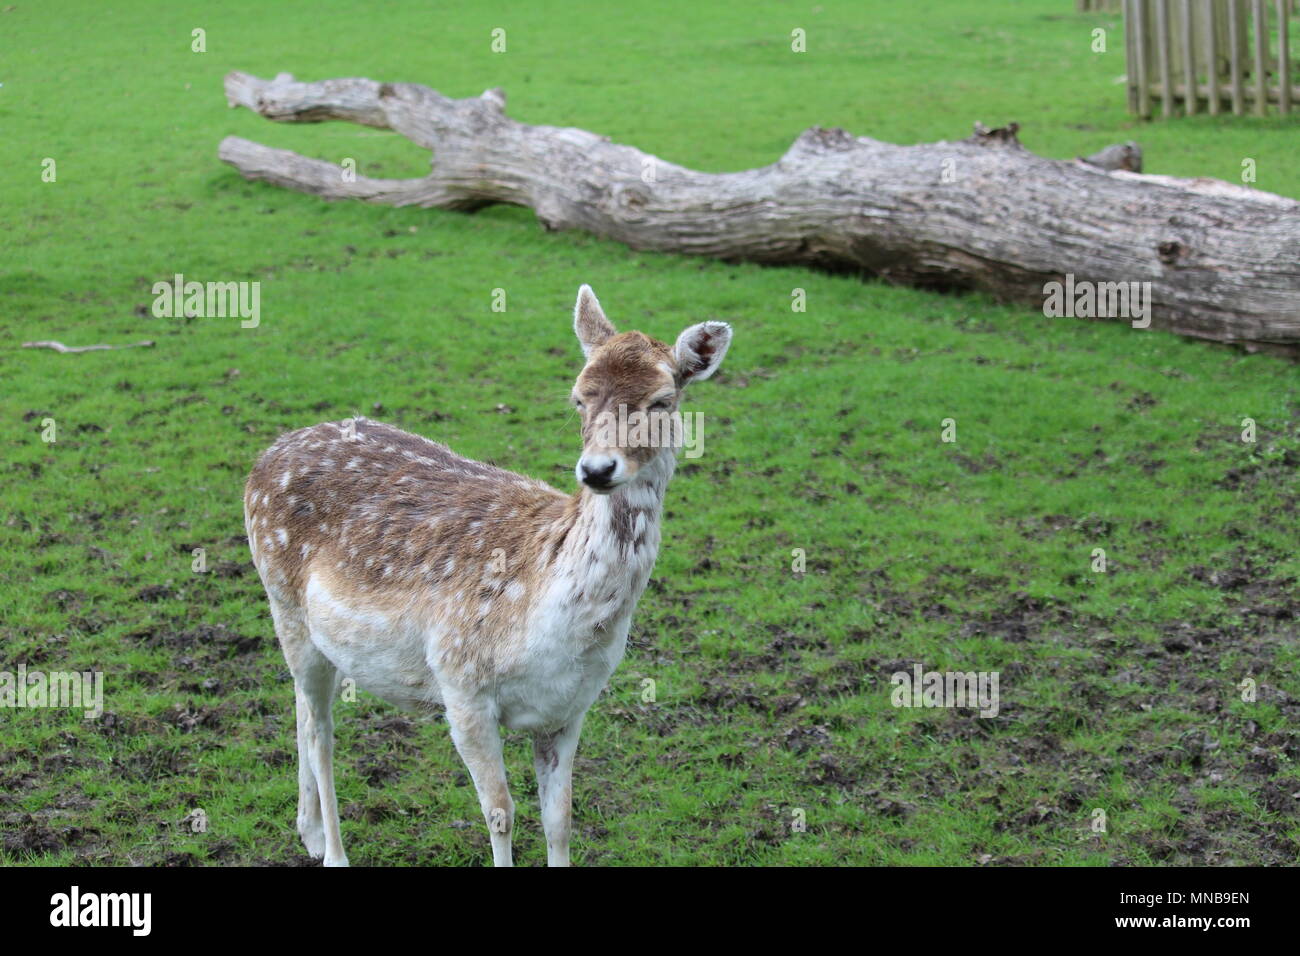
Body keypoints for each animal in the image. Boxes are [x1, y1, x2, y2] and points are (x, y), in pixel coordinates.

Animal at [243, 285, 732, 866]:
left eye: (662, 400)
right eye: (578, 397)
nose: (596, 470)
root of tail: (265, 455)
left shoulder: (572, 705)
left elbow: (561, 818)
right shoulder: (460, 682)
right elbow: (501, 813)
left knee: (301, 707)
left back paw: (310, 831)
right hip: (283, 601)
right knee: (320, 729)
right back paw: (334, 852)